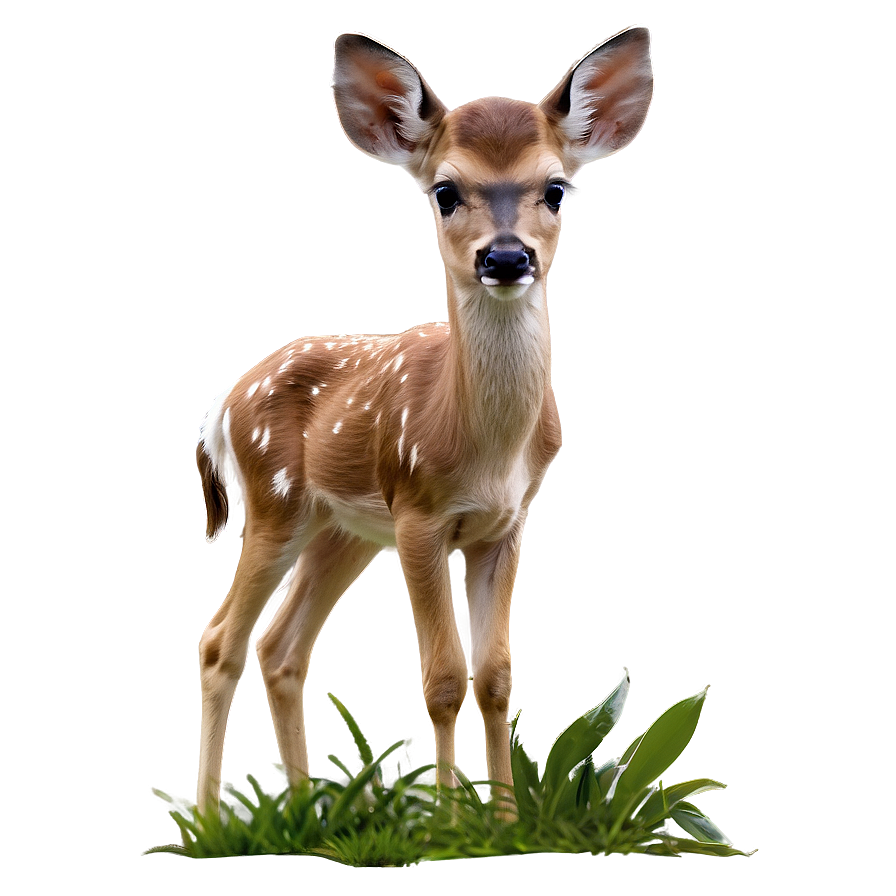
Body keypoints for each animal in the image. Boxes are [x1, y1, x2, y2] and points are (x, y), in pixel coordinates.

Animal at [194, 25, 654, 813]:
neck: (485, 450)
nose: (506, 256)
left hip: (341, 530)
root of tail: (219, 405)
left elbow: (495, 677)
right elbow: (441, 681)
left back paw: (307, 809)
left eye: (556, 188)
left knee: (281, 648)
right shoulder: (417, 514)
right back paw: (209, 820)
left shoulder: (506, 523)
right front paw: (446, 820)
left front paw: (505, 819)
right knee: (221, 641)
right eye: (445, 191)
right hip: (276, 503)